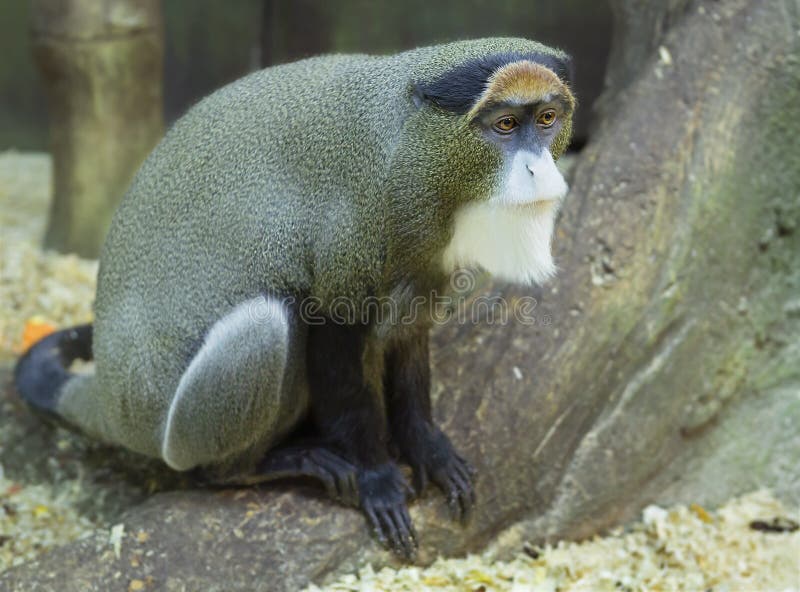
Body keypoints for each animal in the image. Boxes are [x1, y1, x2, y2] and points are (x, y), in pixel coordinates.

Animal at [14, 37, 575, 559]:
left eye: (547, 118)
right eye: (505, 125)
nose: (539, 171)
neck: (415, 150)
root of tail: (112, 400)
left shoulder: (424, 265)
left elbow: (408, 339)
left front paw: (427, 447)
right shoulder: (354, 235)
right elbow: (335, 346)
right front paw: (376, 477)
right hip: (182, 430)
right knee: (265, 326)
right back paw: (248, 468)